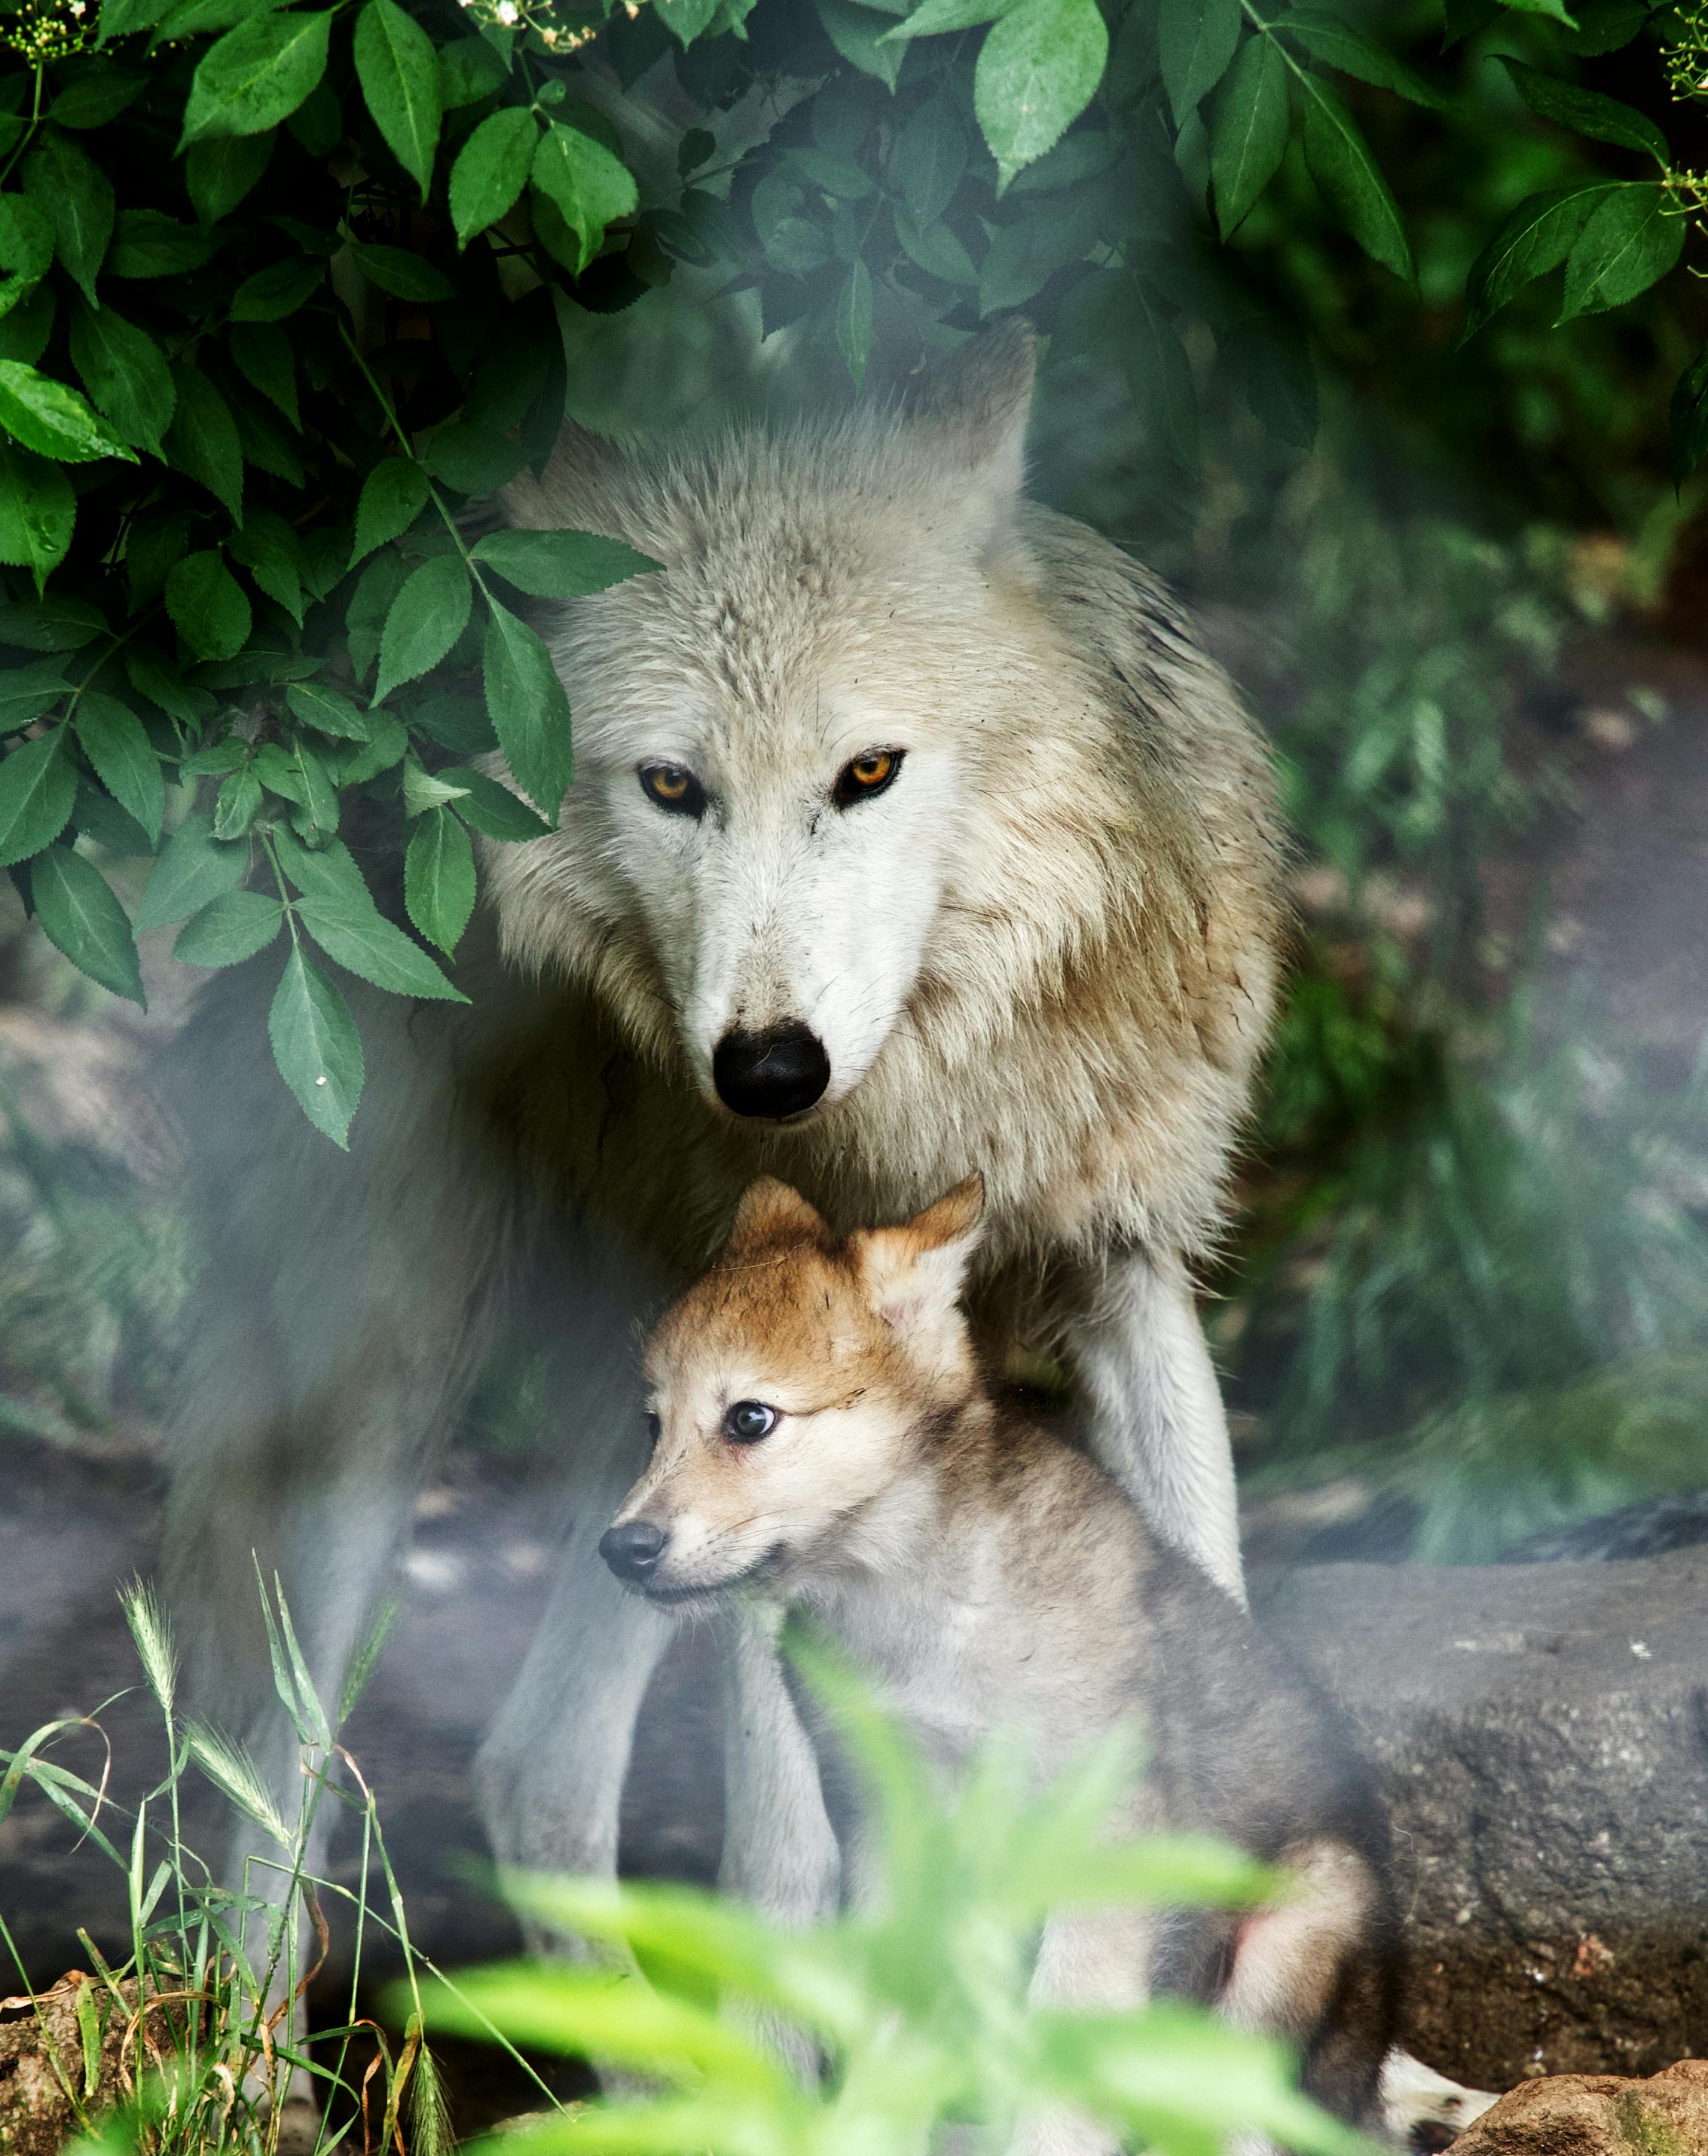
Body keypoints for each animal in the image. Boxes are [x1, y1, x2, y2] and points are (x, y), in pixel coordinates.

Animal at [601, 1171, 1402, 2154]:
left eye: (749, 1418)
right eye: (652, 1425)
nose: (621, 1548)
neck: (913, 1607)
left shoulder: (1099, 1833)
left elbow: (1064, 2047)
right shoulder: (894, 1825)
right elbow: (892, 2031)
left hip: (1295, 1930)